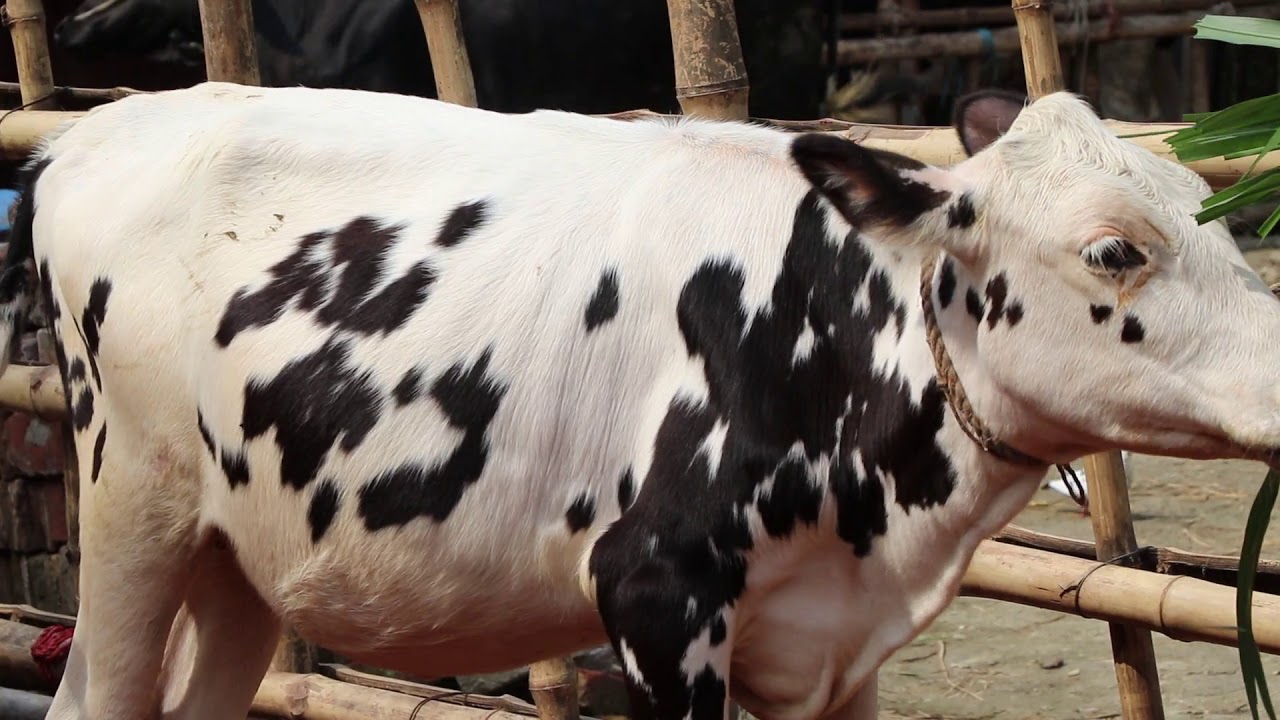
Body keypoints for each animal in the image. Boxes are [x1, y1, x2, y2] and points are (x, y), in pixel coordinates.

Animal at [5, 81, 1280, 720]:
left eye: (1204, 207)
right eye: (1114, 251)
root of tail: (91, 131)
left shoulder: (837, 642)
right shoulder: (656, 594)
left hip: (239, 555)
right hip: (133, 513)